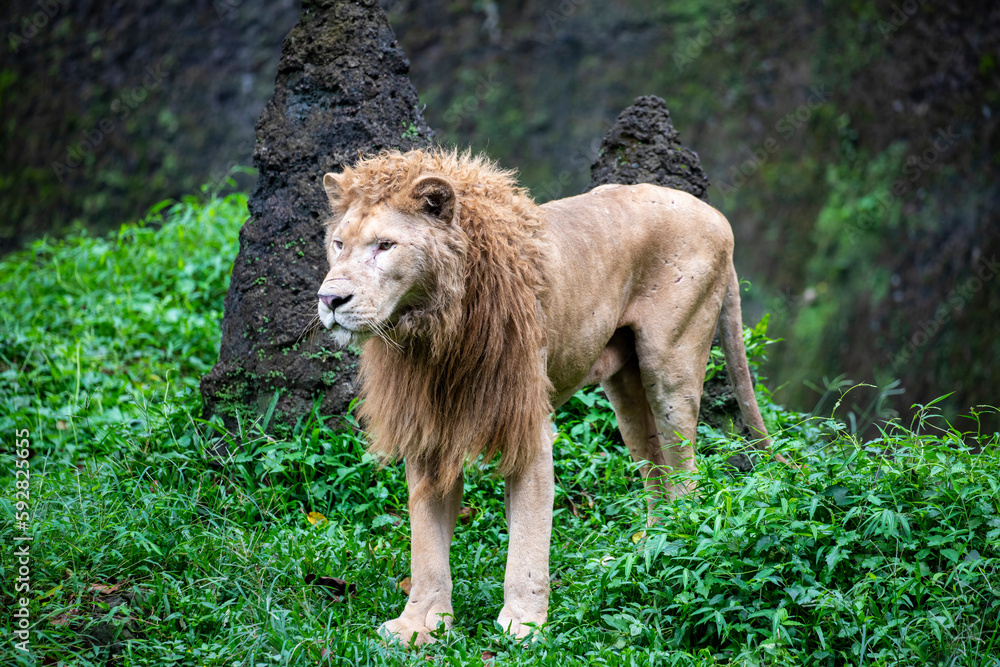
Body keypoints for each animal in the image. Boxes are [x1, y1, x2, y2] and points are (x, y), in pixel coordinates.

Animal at [317, 148, 784, 646]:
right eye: (339, 244)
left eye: (385, 246)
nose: (330, 299)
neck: (433, 330)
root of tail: (716, 215)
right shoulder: (428, 430)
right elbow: (425, 539)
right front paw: (418, 623)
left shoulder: (528, 426)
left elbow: (528, 536)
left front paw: (523, 625)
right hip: (626, 388)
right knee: (655, 473)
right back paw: (644, 555)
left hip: (670, 366)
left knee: (685, 474)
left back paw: (677, 548)